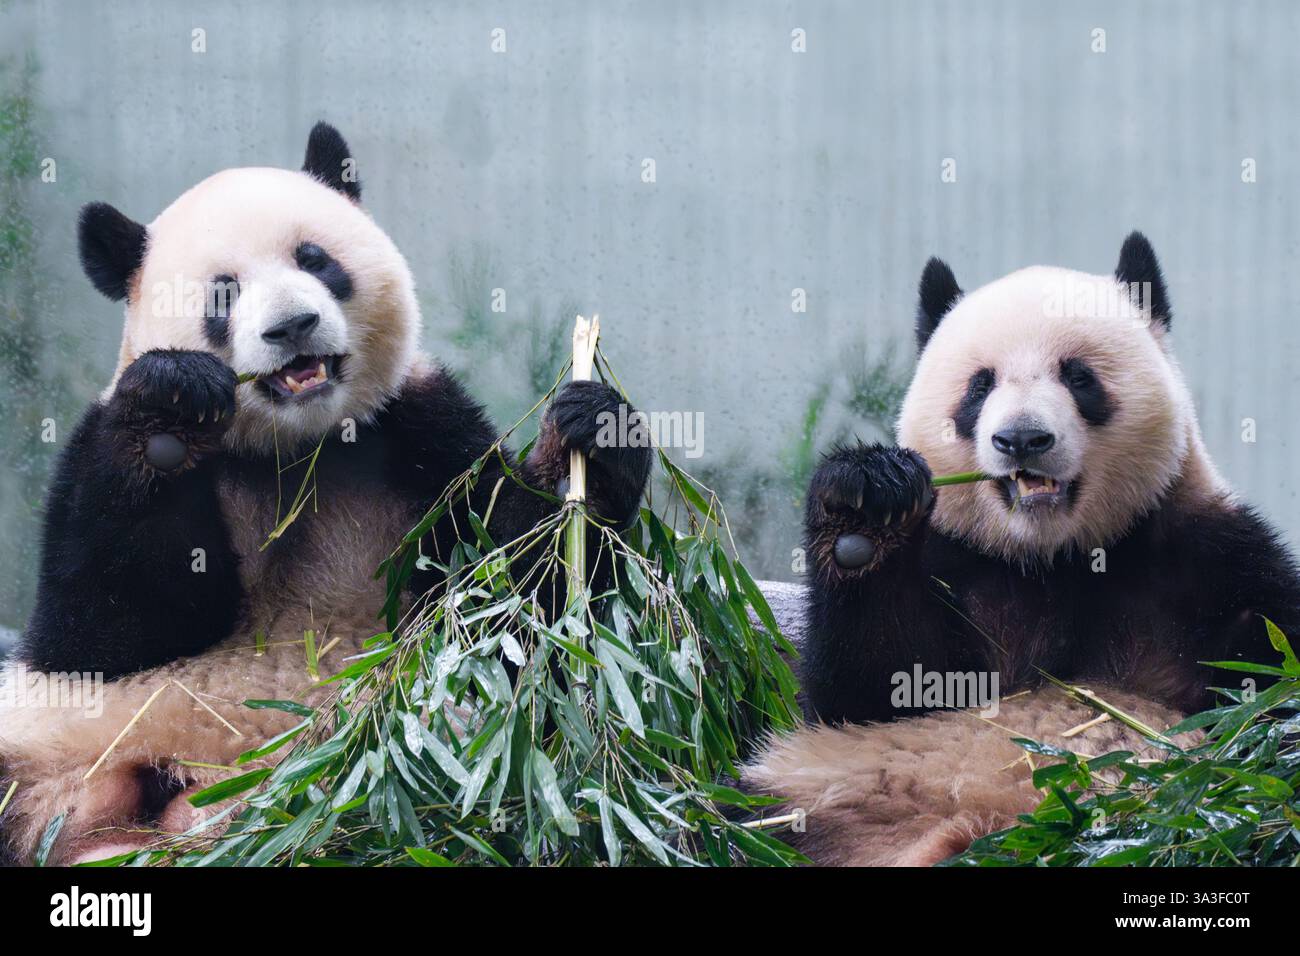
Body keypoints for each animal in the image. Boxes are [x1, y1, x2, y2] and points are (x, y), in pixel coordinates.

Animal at [0, 123, 650, 865]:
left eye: (315, 260)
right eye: (224, 295)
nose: (292, 326)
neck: (298, 448)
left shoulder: (421, 430)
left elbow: (519, 595)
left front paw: (591, 443)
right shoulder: (99, 467)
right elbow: (98, 630)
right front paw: (171, 399)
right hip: (47, 754)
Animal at [741, 233, 1300, 866]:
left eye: (1078, 377)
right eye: (980, 385)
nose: (1022, 439)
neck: (1056, 557)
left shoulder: (1205, 554)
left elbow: (1268, 666)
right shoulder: (959, 565)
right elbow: (869, 685)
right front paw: (865, 506)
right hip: (813, 792)